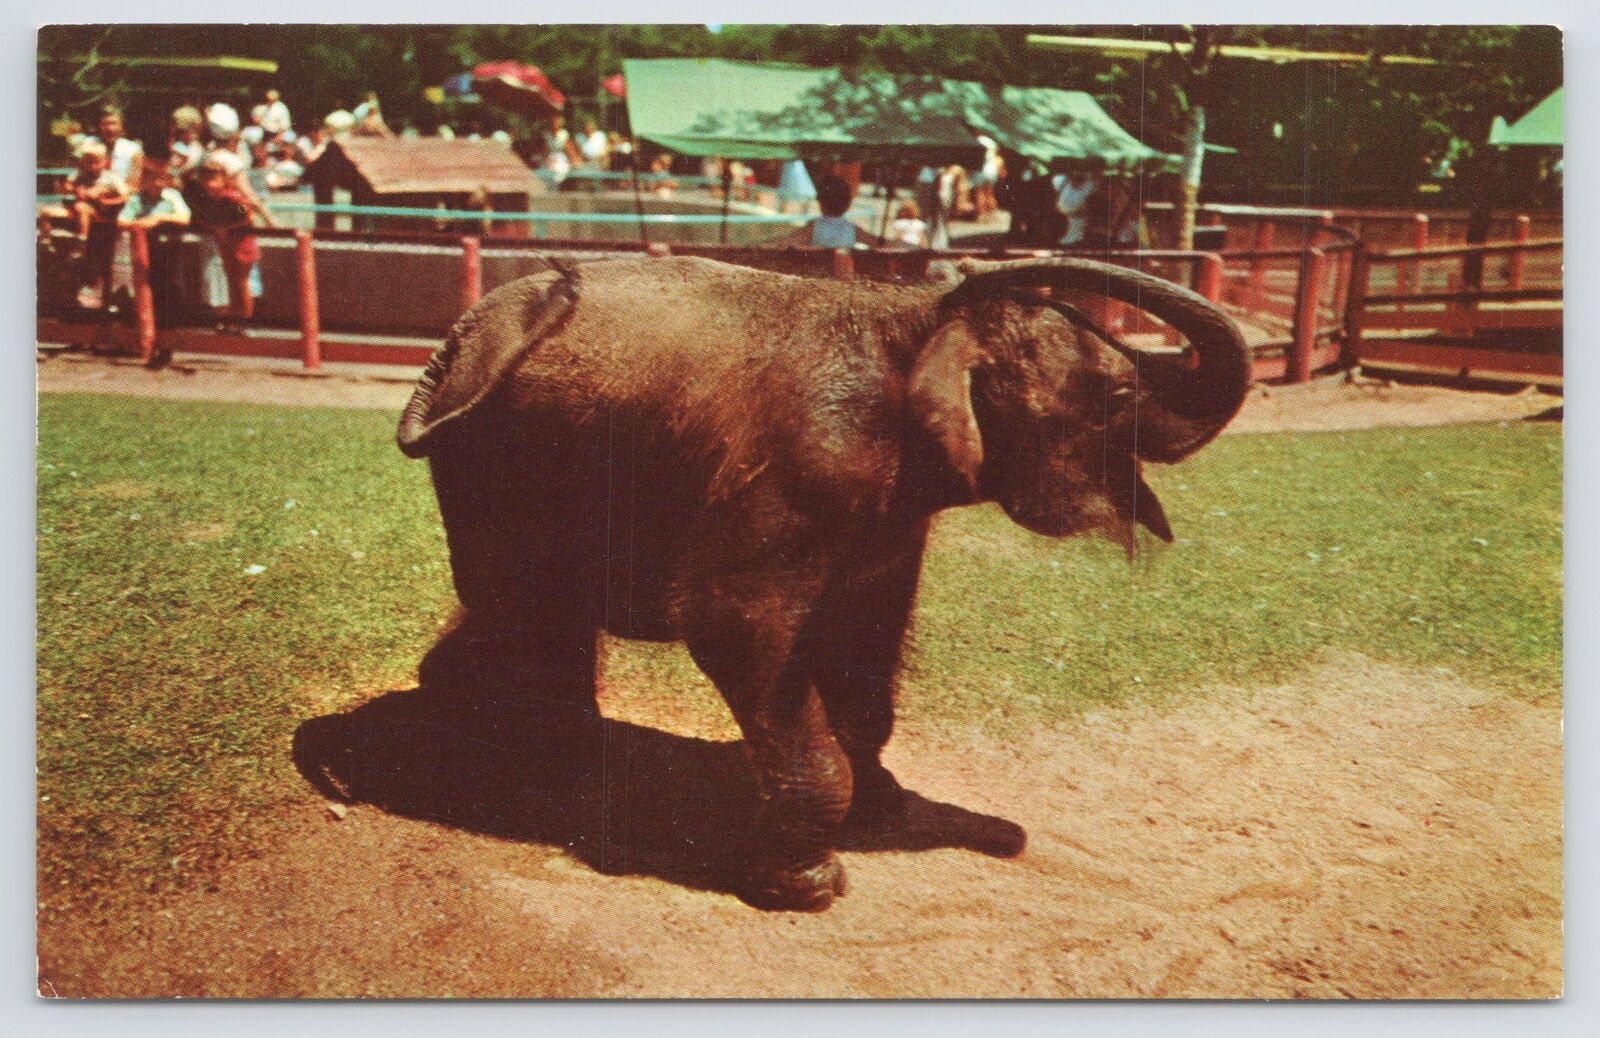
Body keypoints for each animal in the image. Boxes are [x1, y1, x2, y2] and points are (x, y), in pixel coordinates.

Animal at [395, 253, 1250, 911]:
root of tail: (461, 339)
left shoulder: (886, 505)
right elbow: (738, 624)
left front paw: (884, 808)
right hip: (494, 460)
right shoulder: (812, 461)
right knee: (521, 603)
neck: (914, 325)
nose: (965, 267)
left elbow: (863, 639)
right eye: (1118, 395)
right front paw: (809, 889)